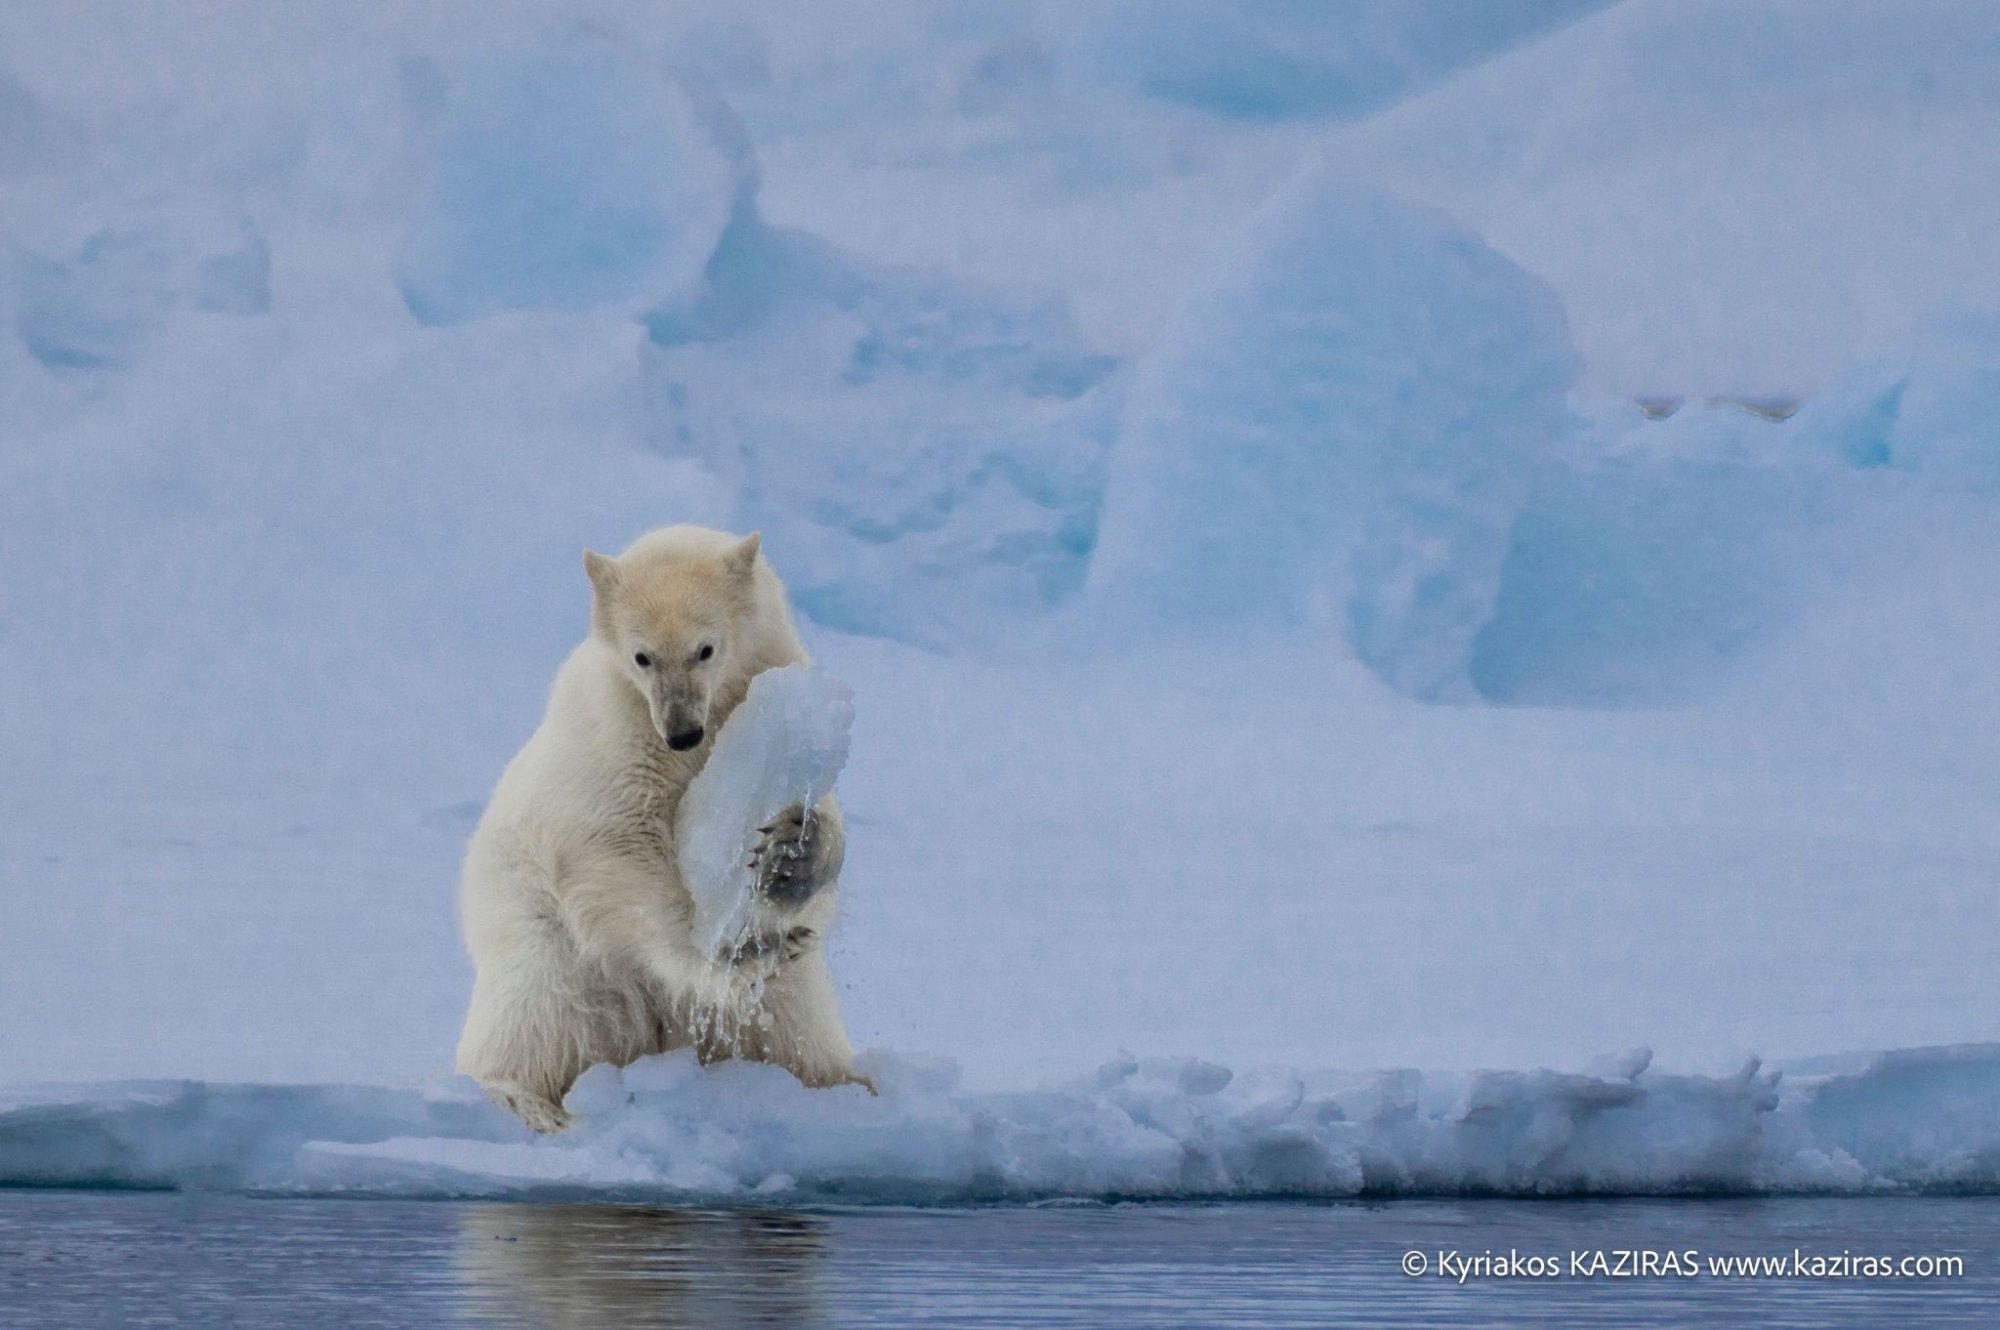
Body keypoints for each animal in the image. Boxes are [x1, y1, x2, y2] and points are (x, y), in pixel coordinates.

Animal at [454, 525, 860, 1133]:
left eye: (705, 648)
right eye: (642, 656)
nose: (682, 732)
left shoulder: (777, 692)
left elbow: (820, 819)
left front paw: (793, 855)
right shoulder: (613, 738)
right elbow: (618, 844)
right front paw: (736, 955)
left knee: (793, 1030)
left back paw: (845, 1085)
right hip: (549, 943)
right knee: (540, 1016)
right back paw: (525, 1102)